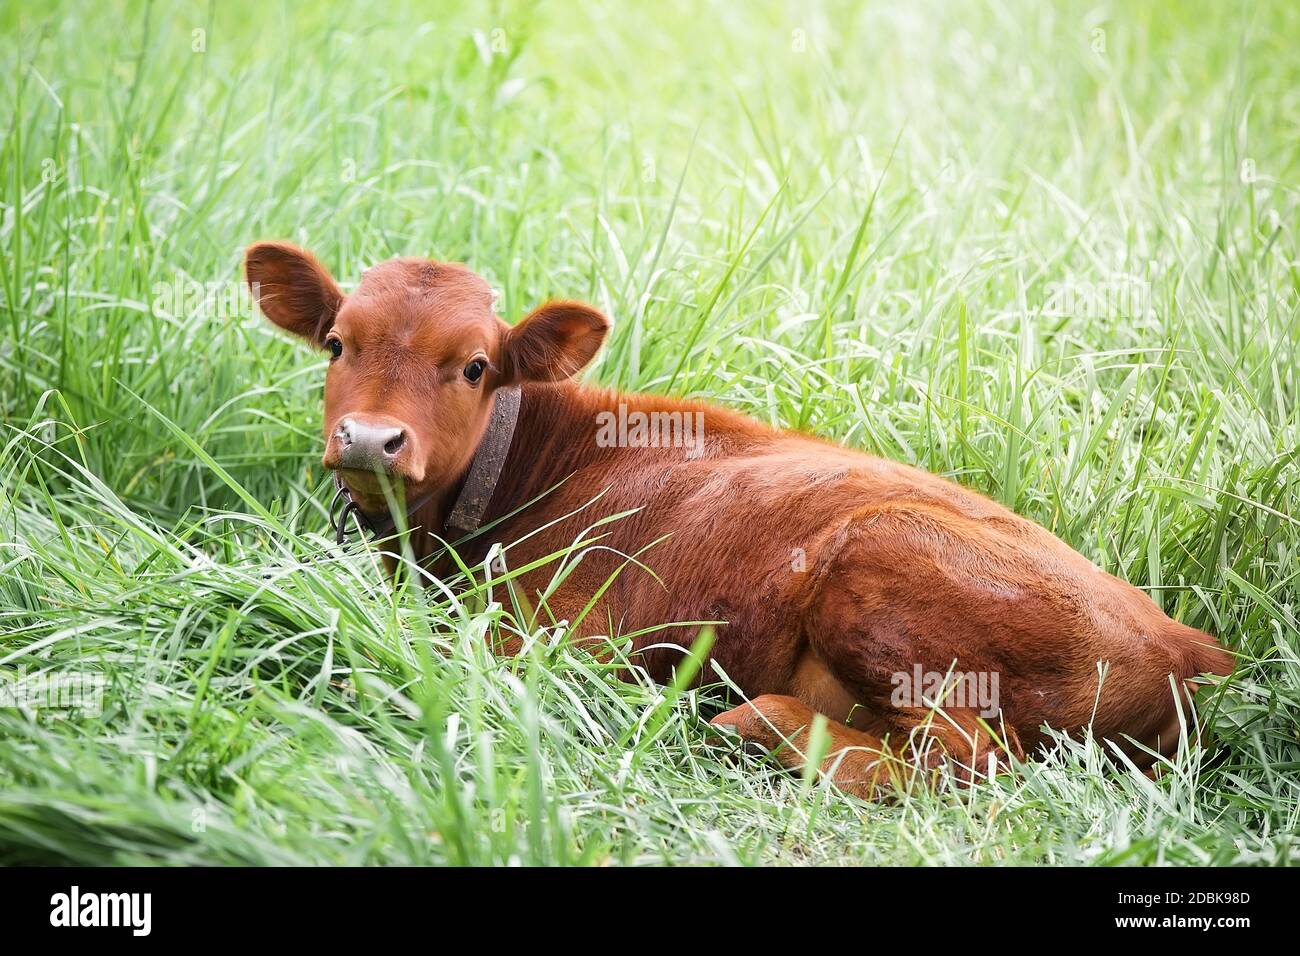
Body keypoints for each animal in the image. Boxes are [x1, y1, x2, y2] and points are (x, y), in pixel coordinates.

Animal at [245, 241, 1235, 798]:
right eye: (336, 343)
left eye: (476, 366)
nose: (372, 439)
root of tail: (1190, 640)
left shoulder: (559, 640)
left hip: (884, 563)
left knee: (965, 761)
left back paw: (758, 723)